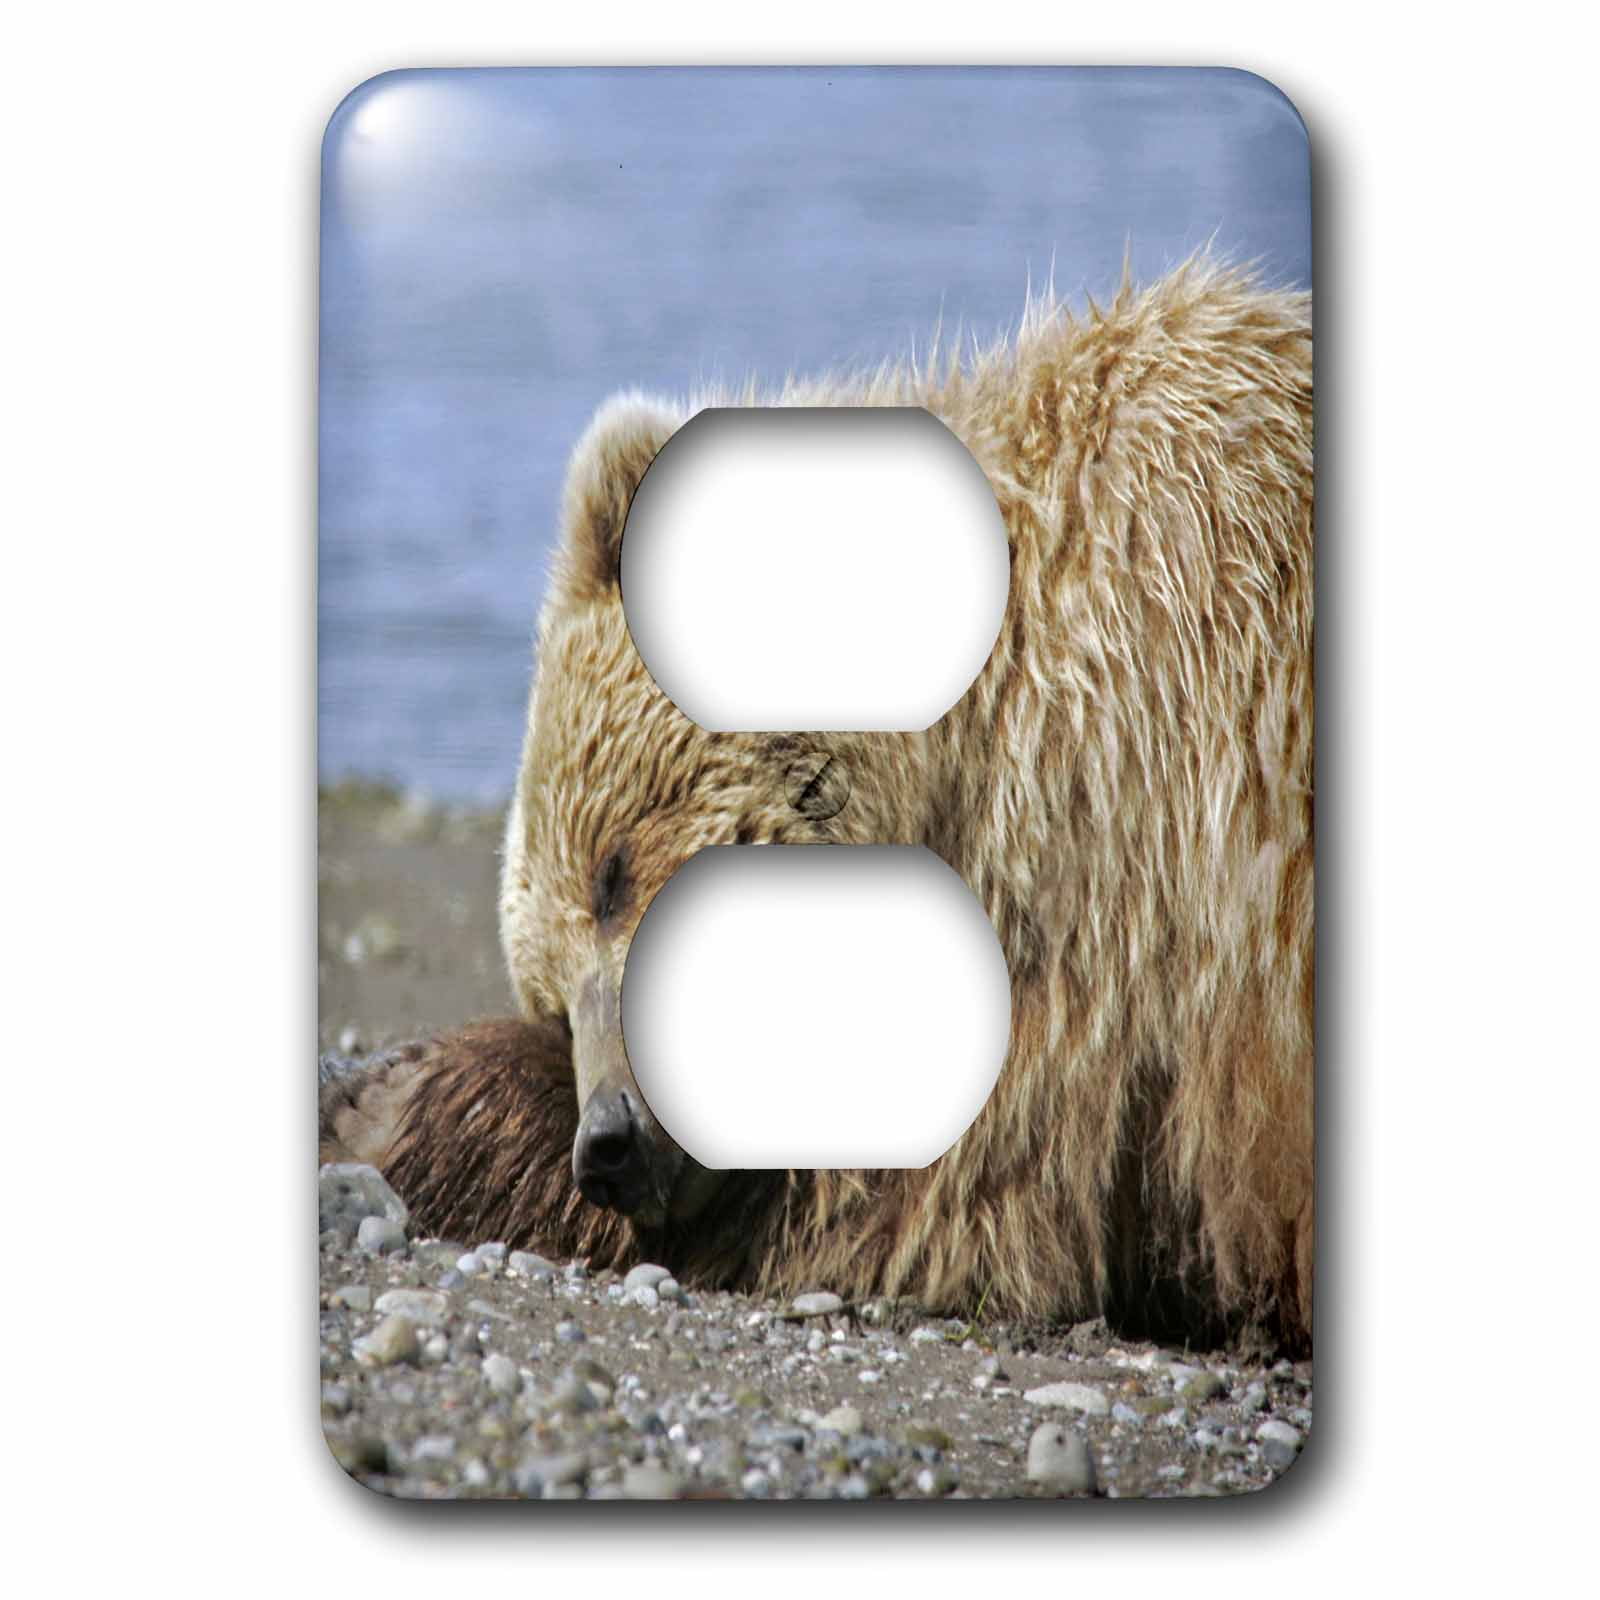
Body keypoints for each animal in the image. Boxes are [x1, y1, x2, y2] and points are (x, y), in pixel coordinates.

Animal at [321, 257, 1314, 1352]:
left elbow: (914, 1190)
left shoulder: (1117, 830)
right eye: (551, 999)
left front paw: (385, 1099)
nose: (611, 1141)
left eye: (612, 872)